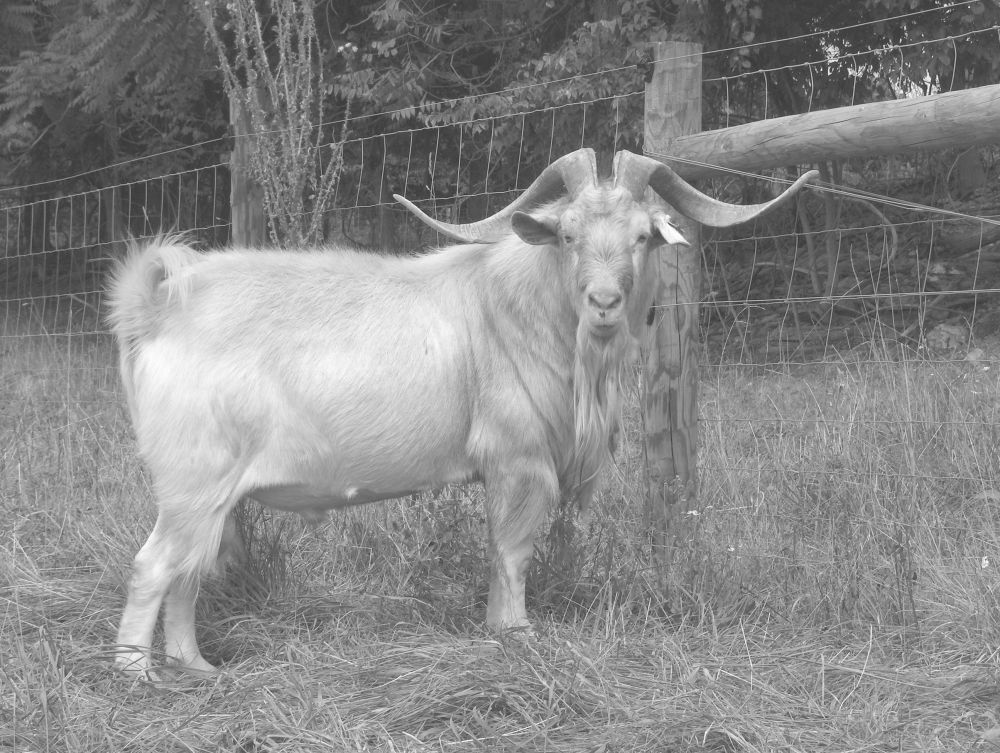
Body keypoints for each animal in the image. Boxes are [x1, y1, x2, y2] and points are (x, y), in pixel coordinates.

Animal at [107, 149, 816, 673]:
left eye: (642, 237)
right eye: (568, 235)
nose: (605, 303)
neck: (527, 313)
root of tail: (160, 306)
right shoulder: (518, 460)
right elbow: (512, 551)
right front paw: (516, 633)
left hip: (213, 496)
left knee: (187, 573)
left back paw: (196, 668)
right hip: (193, 482)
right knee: (152, 567)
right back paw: (137, 674)